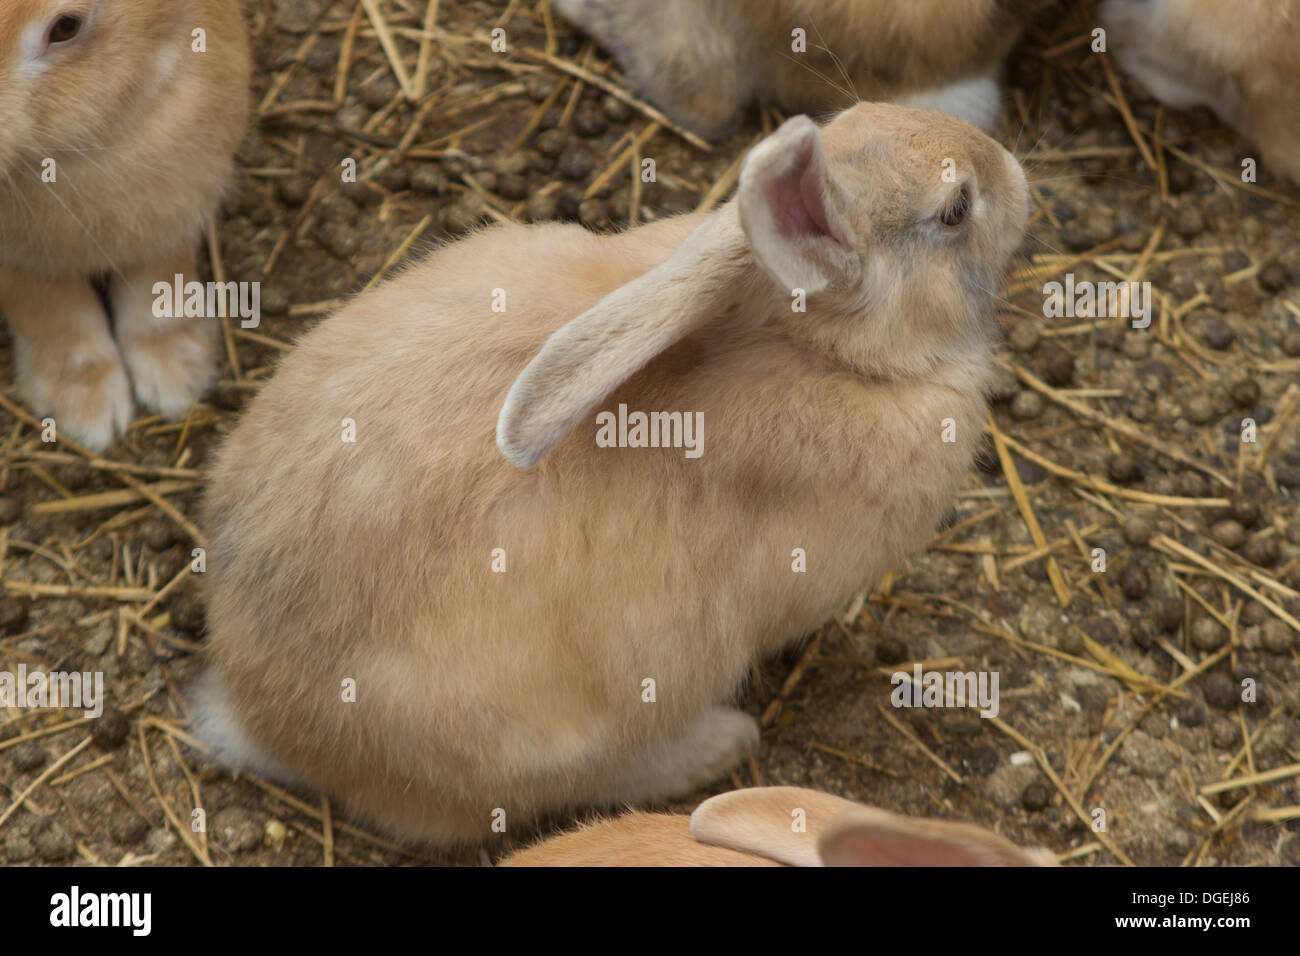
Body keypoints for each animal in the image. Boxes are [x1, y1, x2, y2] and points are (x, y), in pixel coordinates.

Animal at [0, 0, 251, 450]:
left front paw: (178, 377)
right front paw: (86, 407)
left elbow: (160, 287)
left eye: (66, 26)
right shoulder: (22, 267)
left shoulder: (173, 214)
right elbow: (51, 314)